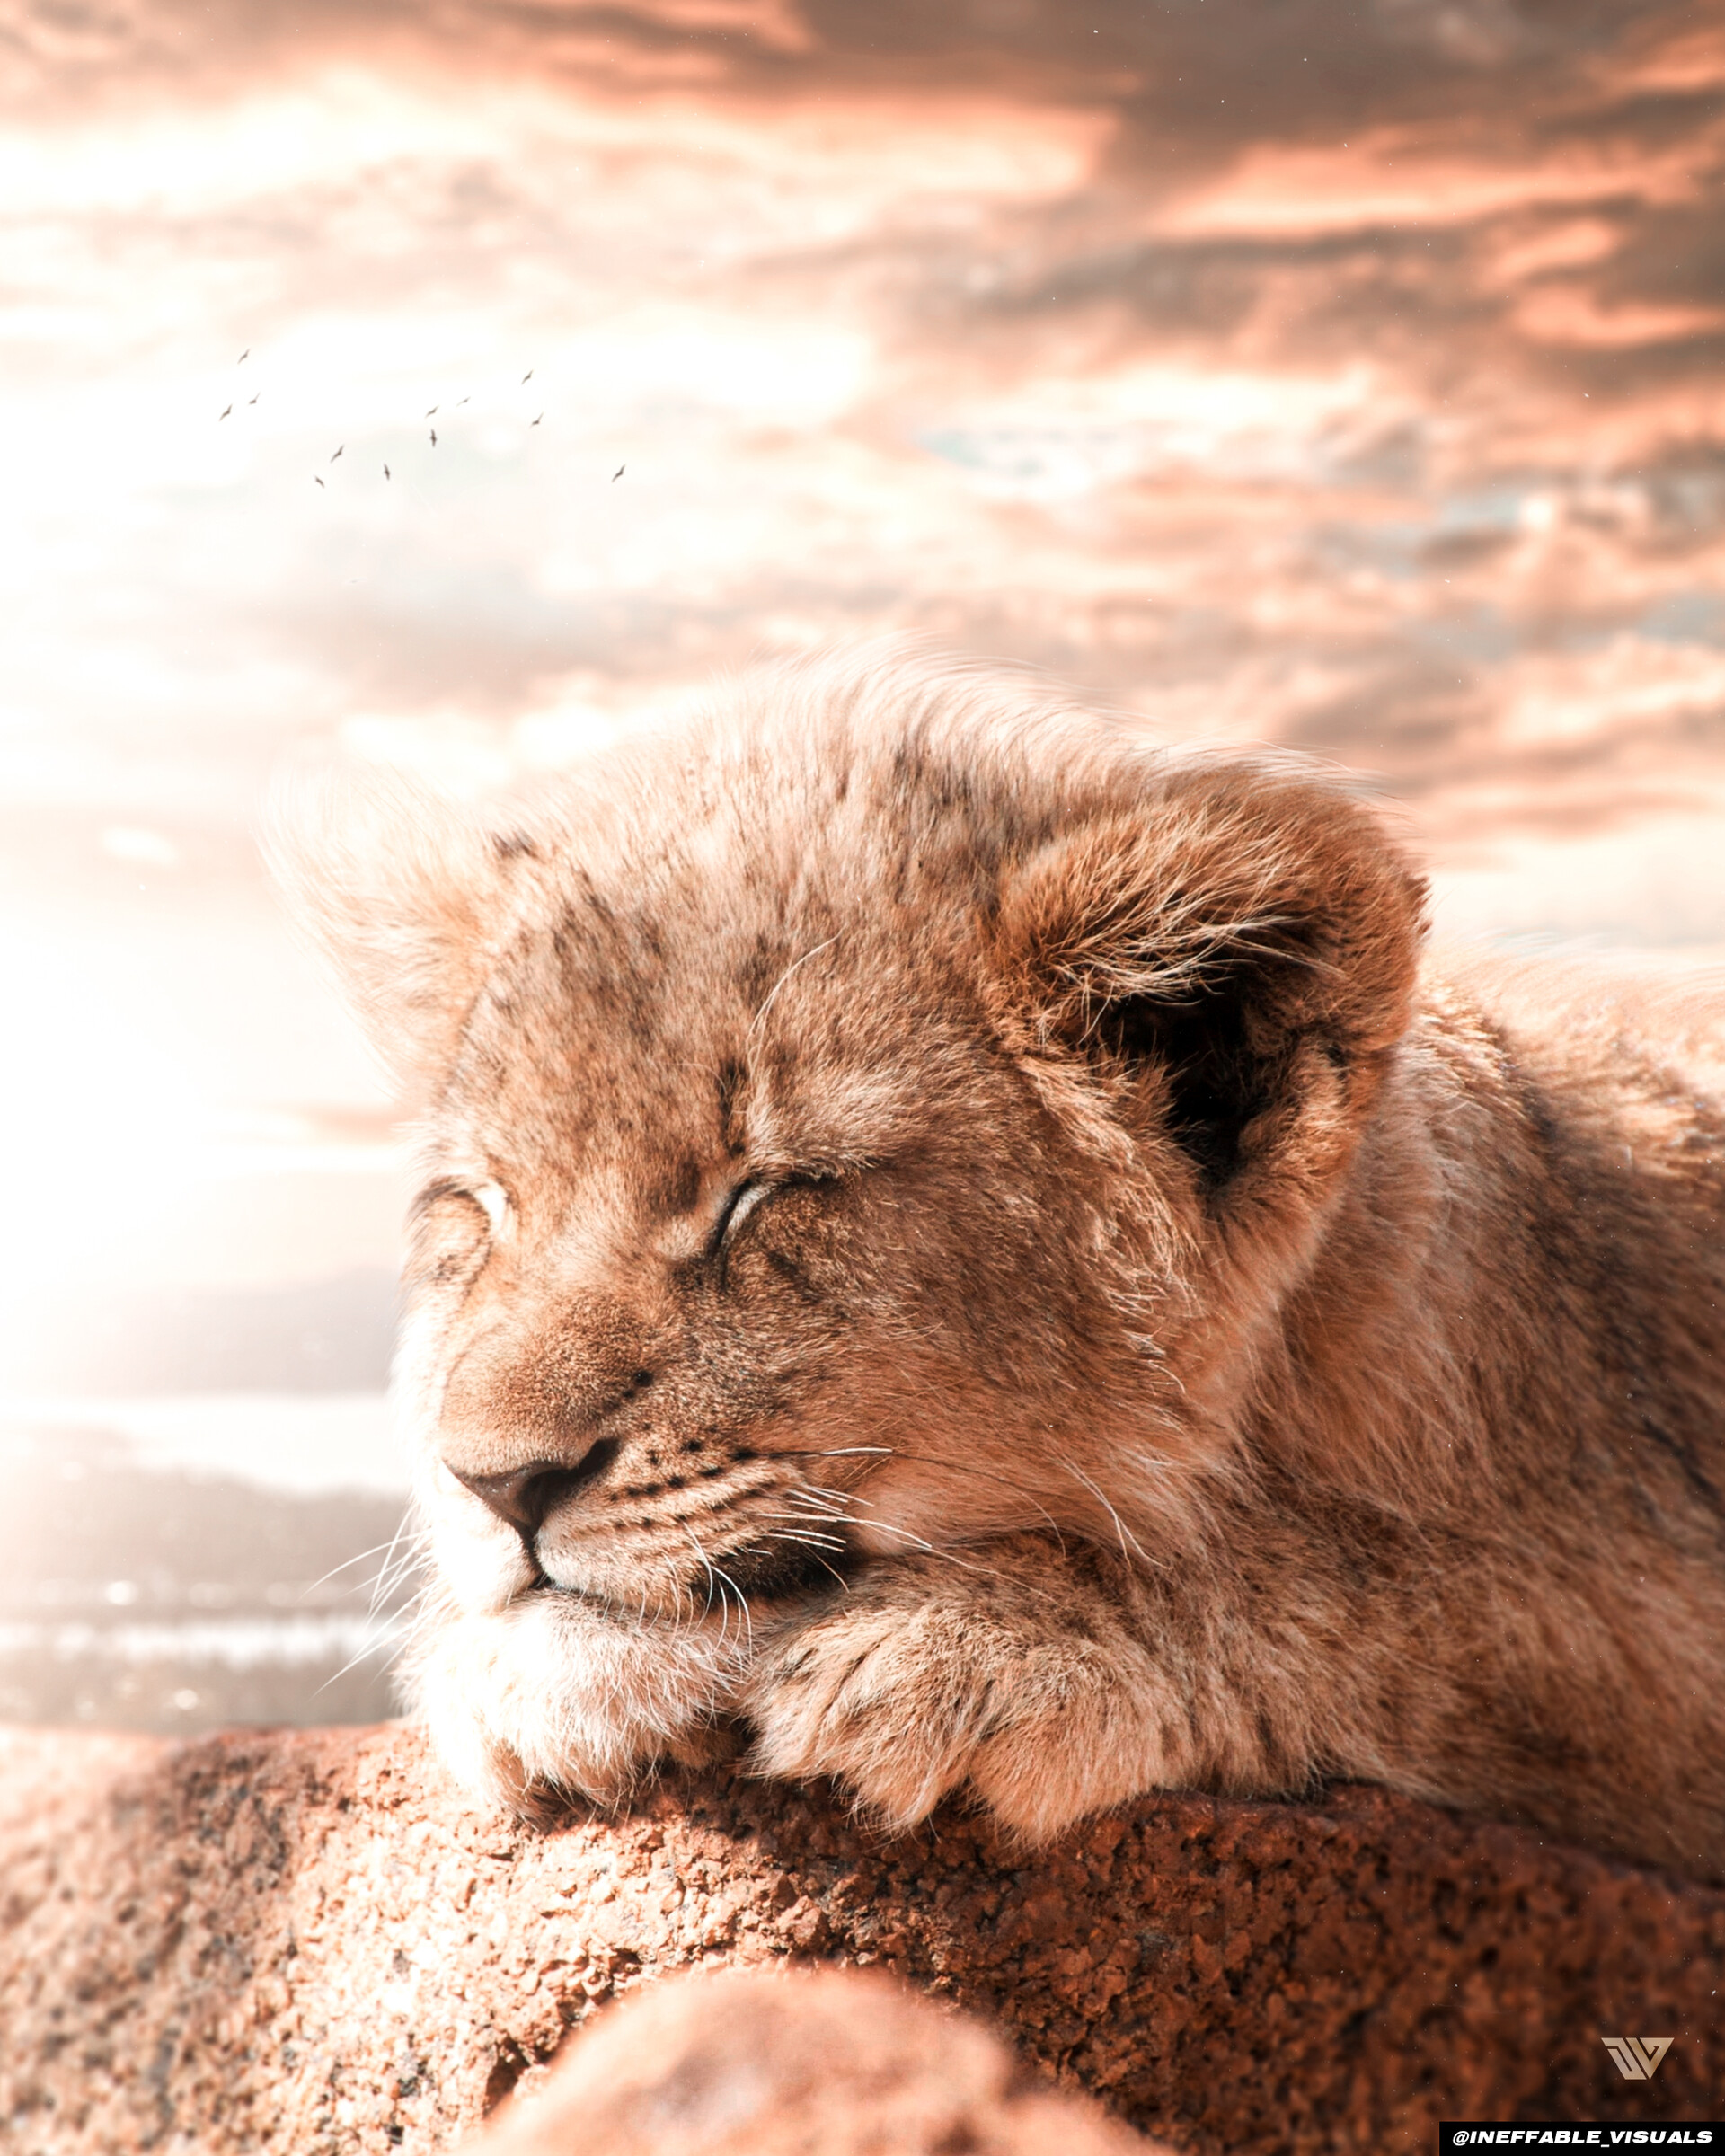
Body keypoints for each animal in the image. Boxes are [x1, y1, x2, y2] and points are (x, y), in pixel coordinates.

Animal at [278, 649, 1725, 1880]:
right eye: (480, 1206)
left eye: (768, 1194)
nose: (493, 1484)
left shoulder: (1638, 1628)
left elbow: (1389, 1592)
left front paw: (995, 1644)